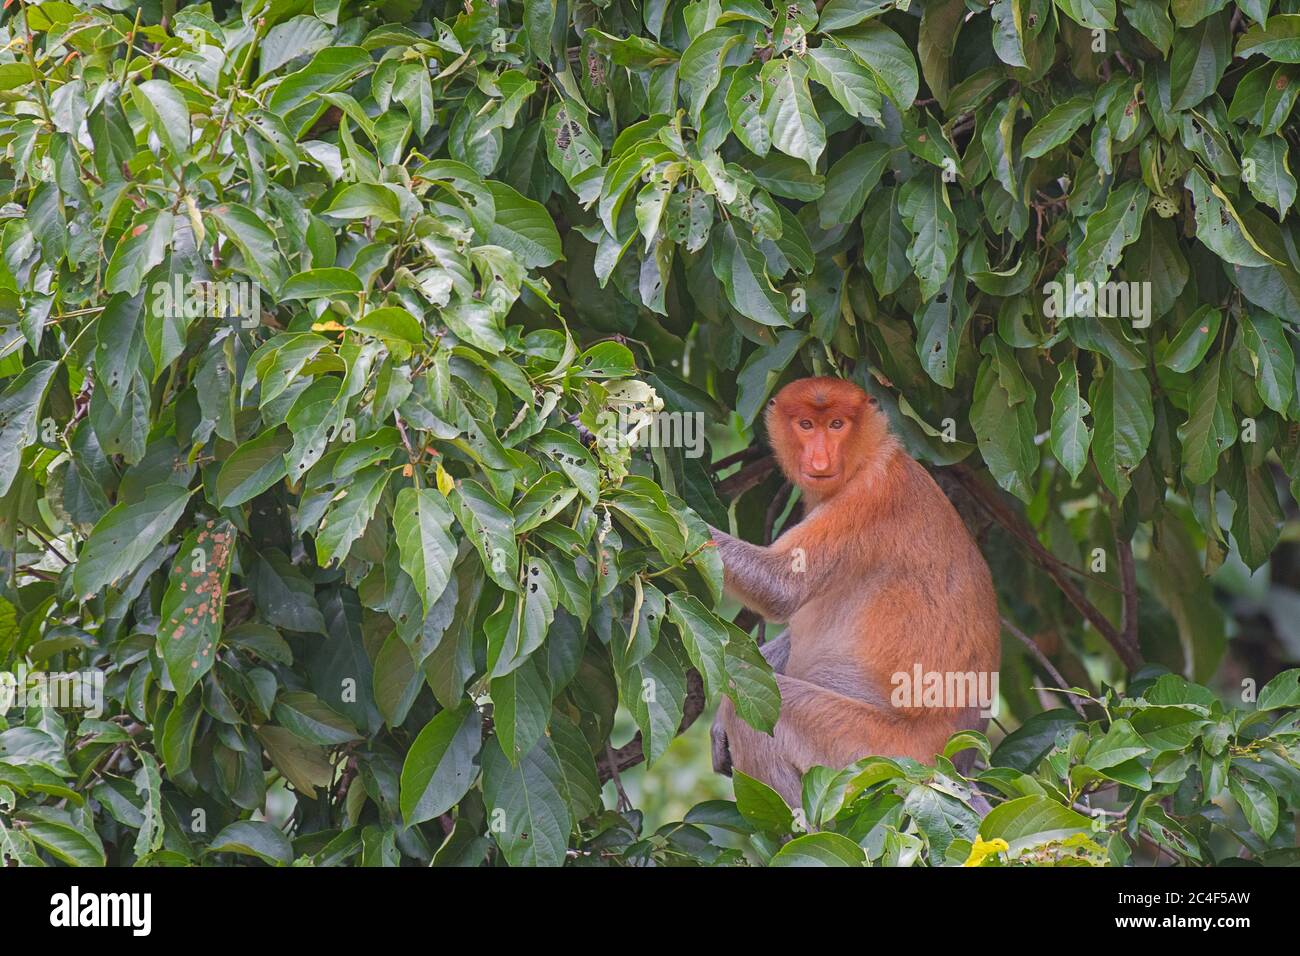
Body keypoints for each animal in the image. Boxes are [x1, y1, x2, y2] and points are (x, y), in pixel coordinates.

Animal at [709, 377, 1001, 806]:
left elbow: (780, 585)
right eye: (806, 425)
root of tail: (951, 760)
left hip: (877, 753)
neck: (868, 456)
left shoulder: (869, 496)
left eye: (836, 425)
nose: (819, 460)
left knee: (764, 713)